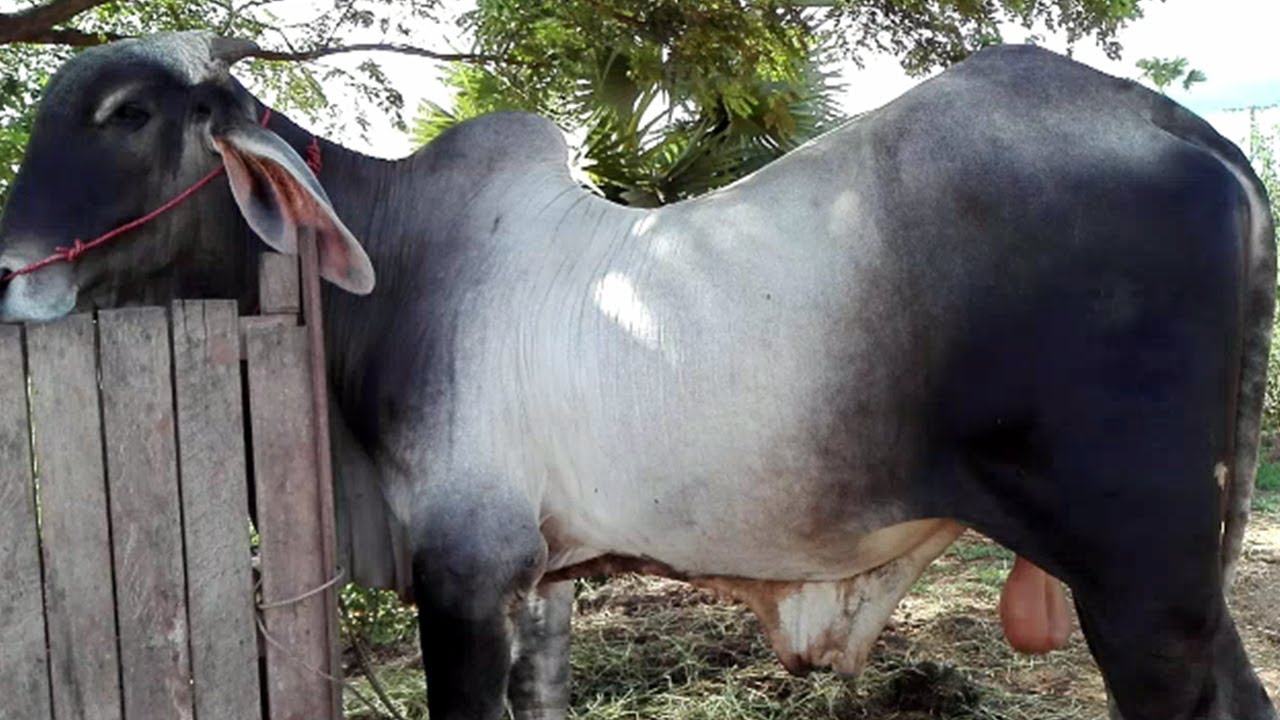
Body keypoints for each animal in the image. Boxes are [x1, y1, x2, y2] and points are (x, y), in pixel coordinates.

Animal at [0, 31, 1274, 720]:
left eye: (128, 115)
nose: (10, 273)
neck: (397, 262)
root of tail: (1180, 129)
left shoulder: (460, 574)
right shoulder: (542, 579)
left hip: (1139, 588)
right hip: (1182, 584)